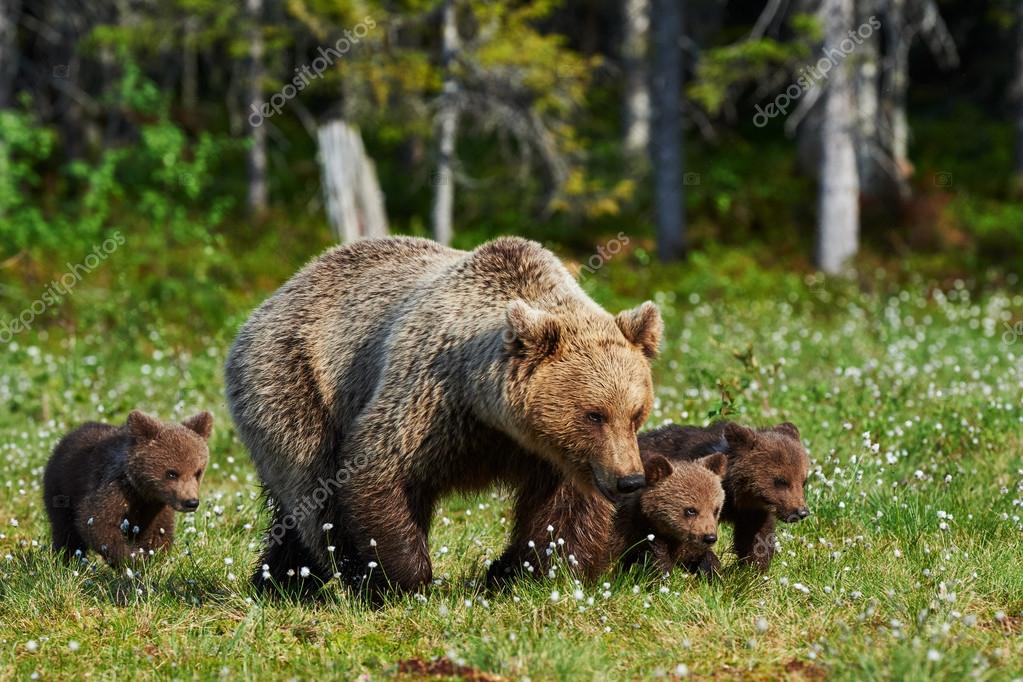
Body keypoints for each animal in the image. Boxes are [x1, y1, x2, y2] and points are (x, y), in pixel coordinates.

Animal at [43, 410, 213, 567]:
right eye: (172, 473)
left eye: (198, 472)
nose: (191, 502)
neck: (142, 491)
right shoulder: (114, 487)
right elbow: (97, 522)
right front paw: (131, 560)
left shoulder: (156, 506)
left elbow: (158, 533)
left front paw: (150, 560)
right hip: (61, 490)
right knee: (66, 531)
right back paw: (68, 561)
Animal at [224, 236, 662, 595]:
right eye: (594, 414)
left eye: (635, 412)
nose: (629, 480)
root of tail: (277, 296)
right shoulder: (431, 401)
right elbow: (377, 469)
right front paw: (403, 580)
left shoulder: (557, 456)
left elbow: (564, 511)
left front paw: (537, 572)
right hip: (295, 383)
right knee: (315, 491)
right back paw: (332, 574)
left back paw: (277, 580)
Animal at [486, 452, 726, 584]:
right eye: (690, 510)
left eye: (716, 509)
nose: (710, 537)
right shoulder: (639, 534)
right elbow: (655, 563)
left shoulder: (683, 541)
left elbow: (699, 557)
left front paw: (713, 574)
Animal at [640, 421, 810, 571]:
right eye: (781, 481)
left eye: (803, 481)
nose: (801, 512)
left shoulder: (753, 511)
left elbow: (757, 539)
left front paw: (753, 572)